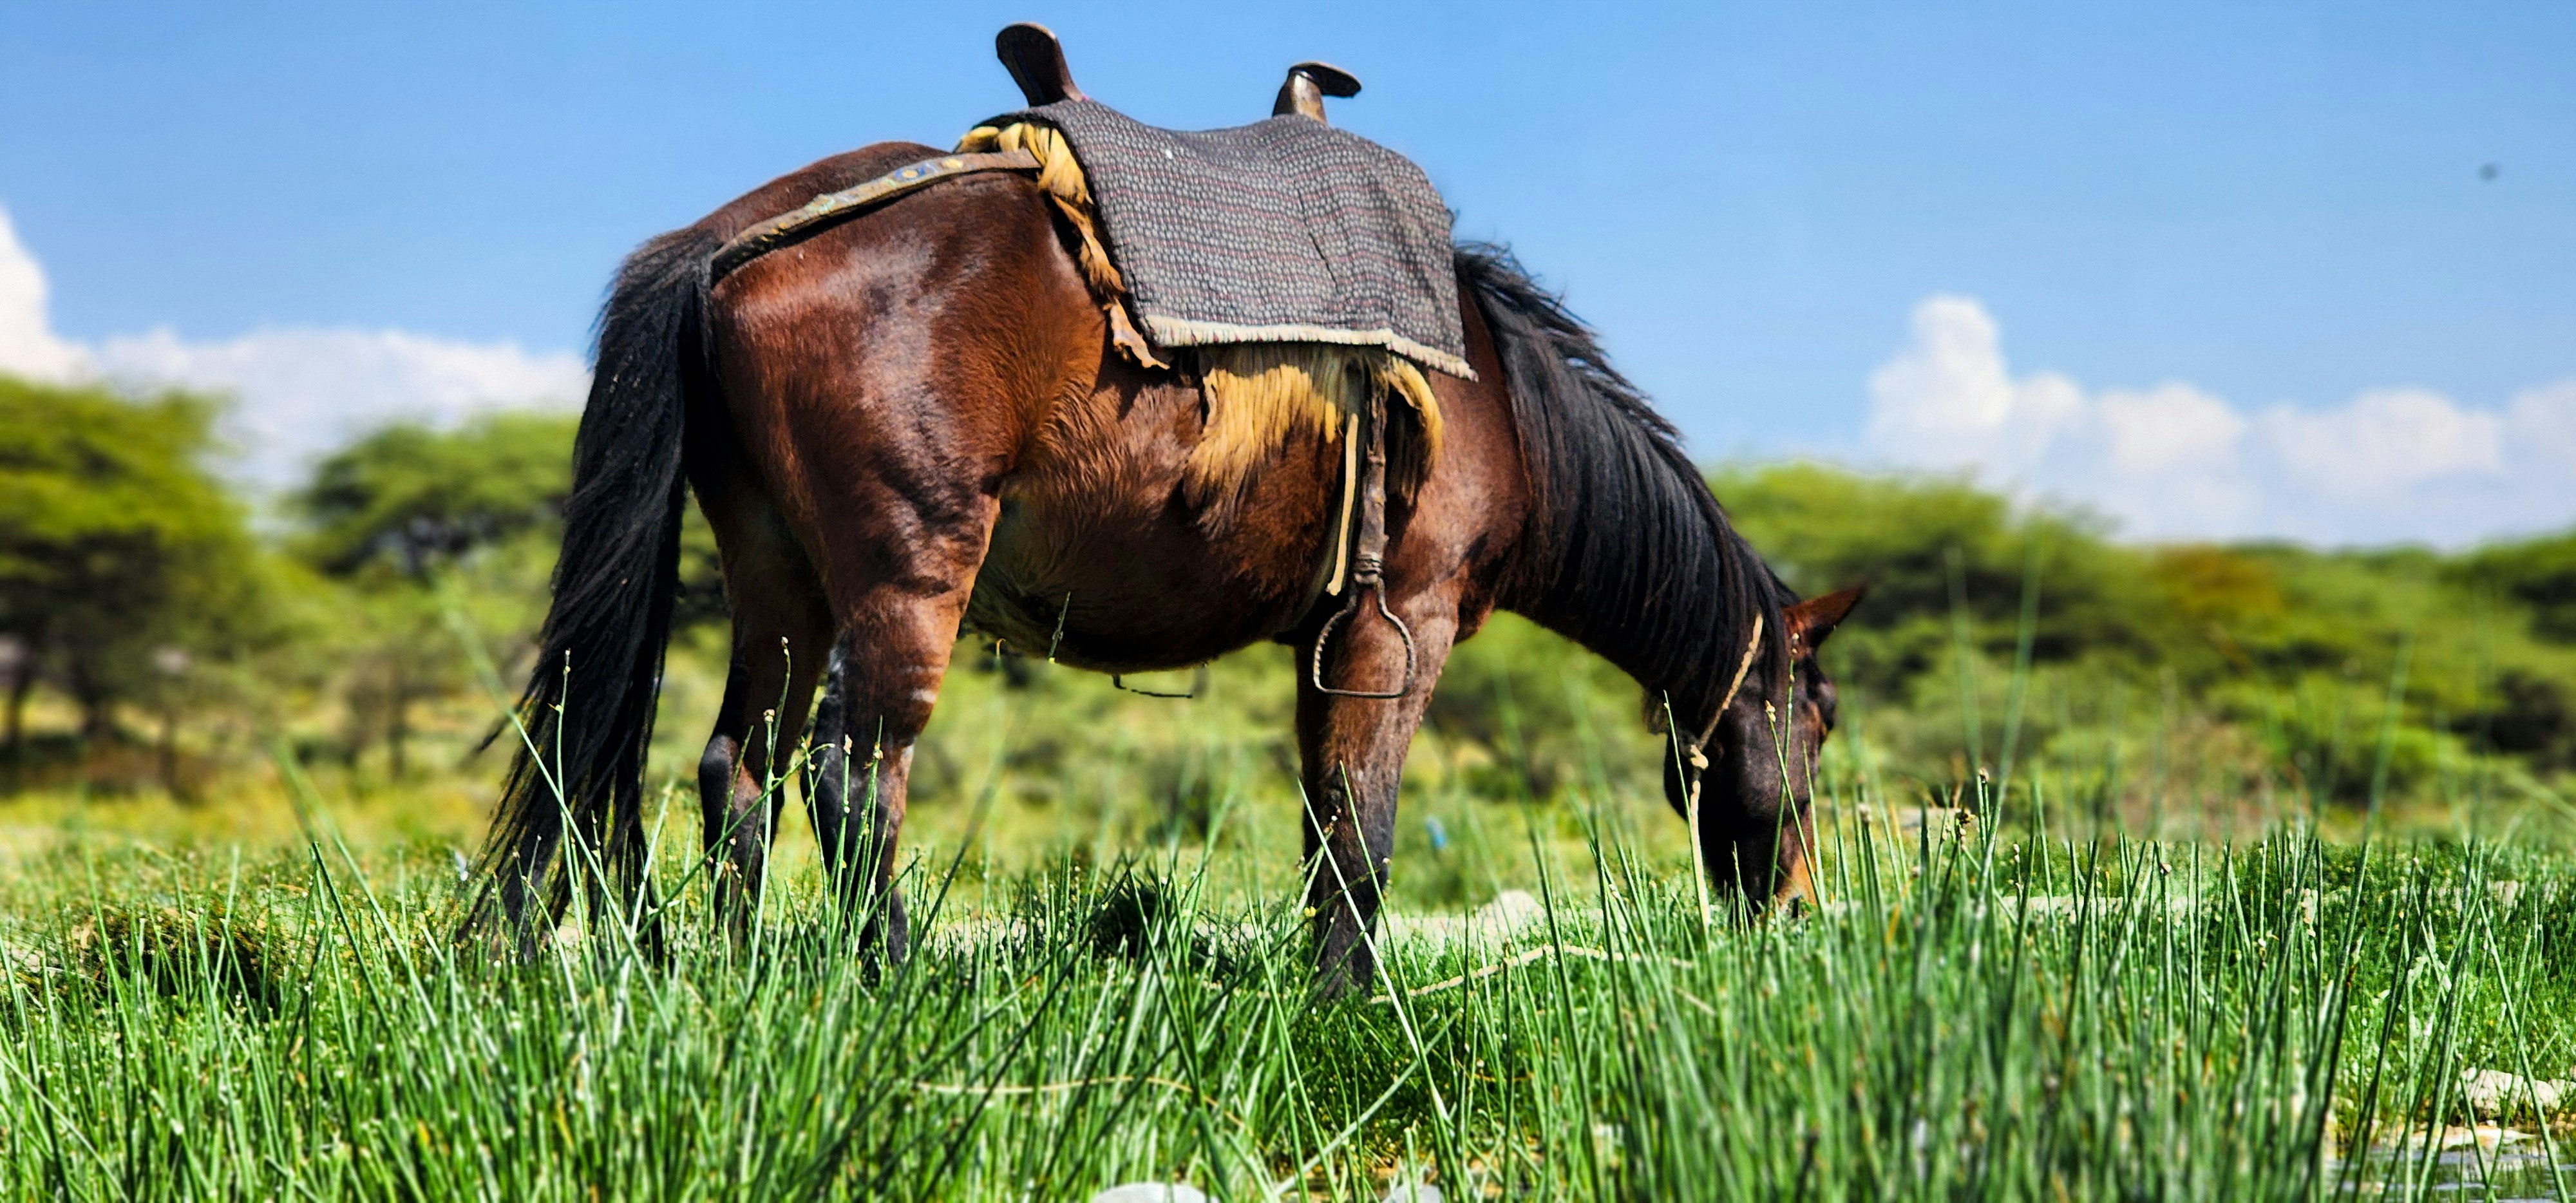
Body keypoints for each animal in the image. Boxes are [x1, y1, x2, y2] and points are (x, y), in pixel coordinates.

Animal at [466, 133, 1861, 994]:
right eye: (1817, 724)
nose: (1799, 912)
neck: (1495, 398)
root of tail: (729, 238)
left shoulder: (1326, 647)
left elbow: (1326, 823)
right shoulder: (1396, 626)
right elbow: (1365, 832)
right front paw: (1353, 1009)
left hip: (780, 580)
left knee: (734, 769)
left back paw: (748, 976)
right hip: (903, 576)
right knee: (850, 775)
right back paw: (897, 985)